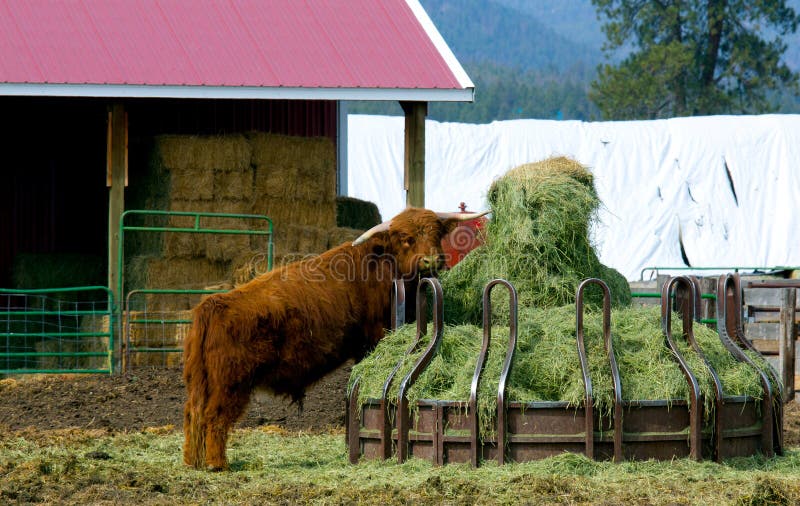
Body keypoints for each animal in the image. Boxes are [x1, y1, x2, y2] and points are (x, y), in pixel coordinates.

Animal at [183, 207, 488, 470]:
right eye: (406, 238)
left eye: (436, 233)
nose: (432, 260)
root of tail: (215, 304)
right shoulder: (372, 338)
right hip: (231, 383)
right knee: (215, 418)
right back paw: (217, 464)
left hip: (201, 383)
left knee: (192, 416)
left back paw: (192, 461)